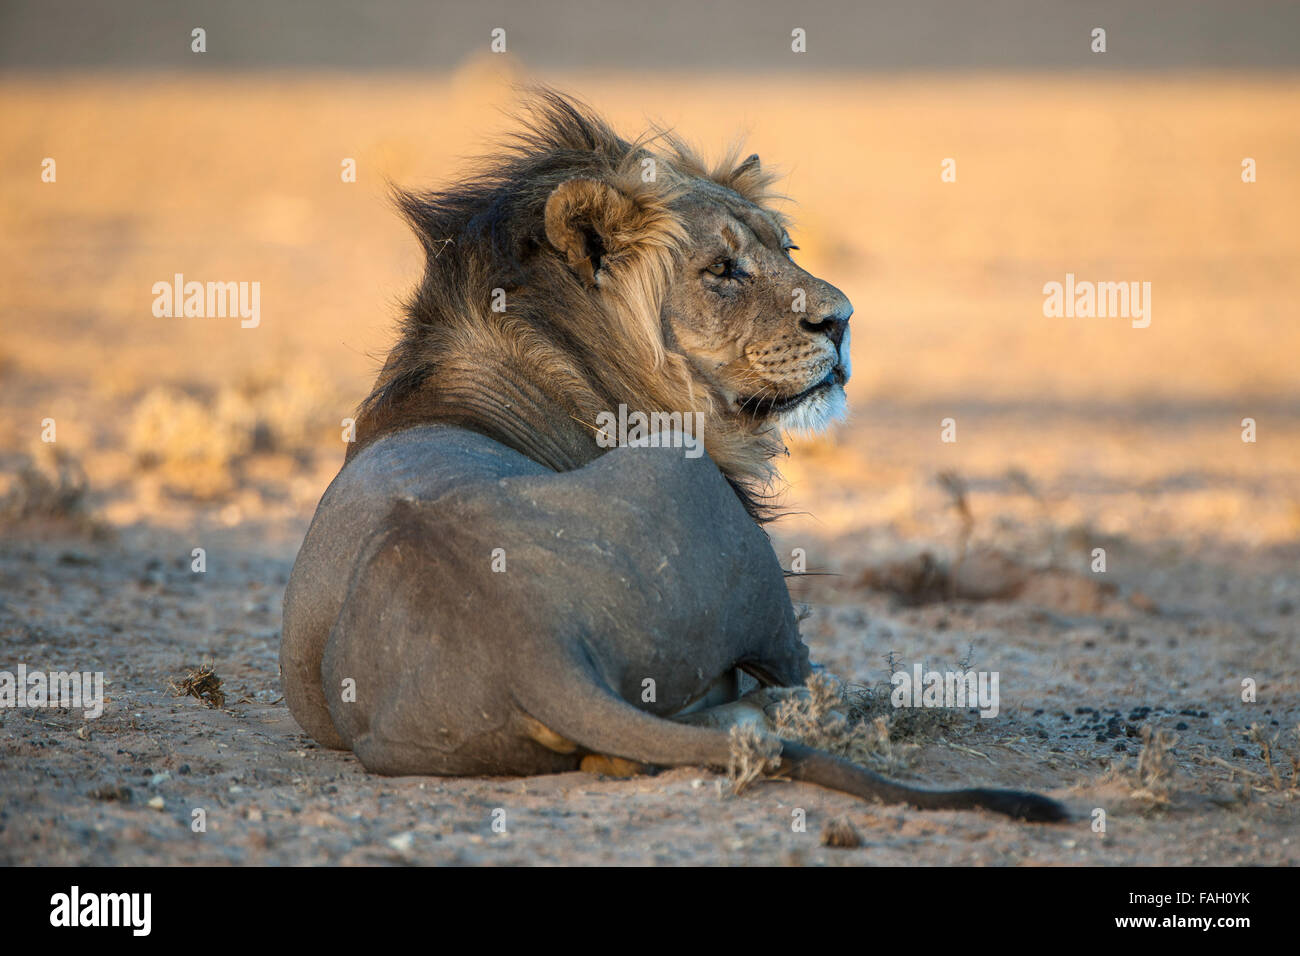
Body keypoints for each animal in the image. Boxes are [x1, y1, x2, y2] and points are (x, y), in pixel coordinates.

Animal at [280, 92, 1066, 822]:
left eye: (788, 251)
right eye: (723, 269)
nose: (842, 321)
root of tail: (531, 643)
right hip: (701, 502)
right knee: (800, 687)